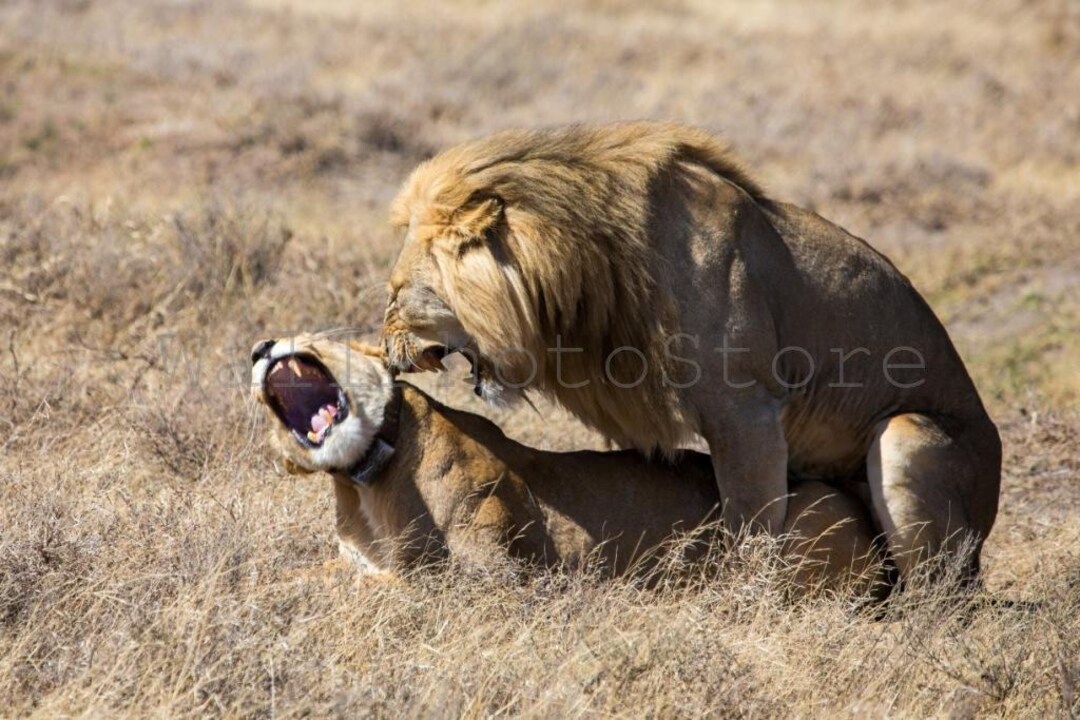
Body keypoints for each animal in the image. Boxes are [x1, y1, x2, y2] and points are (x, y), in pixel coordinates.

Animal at [250, 333, 890, 595]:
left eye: (308, 334)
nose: (259, 349)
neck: (365, 478)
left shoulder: (497, 576)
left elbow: (388, 585)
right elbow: (312, 574)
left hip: (807, 510)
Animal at [381, 122, 1001, 583]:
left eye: (394, 291)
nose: (385, 349)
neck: (586, 266)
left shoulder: (747, 413)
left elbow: (752, 525)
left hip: (908, 435)